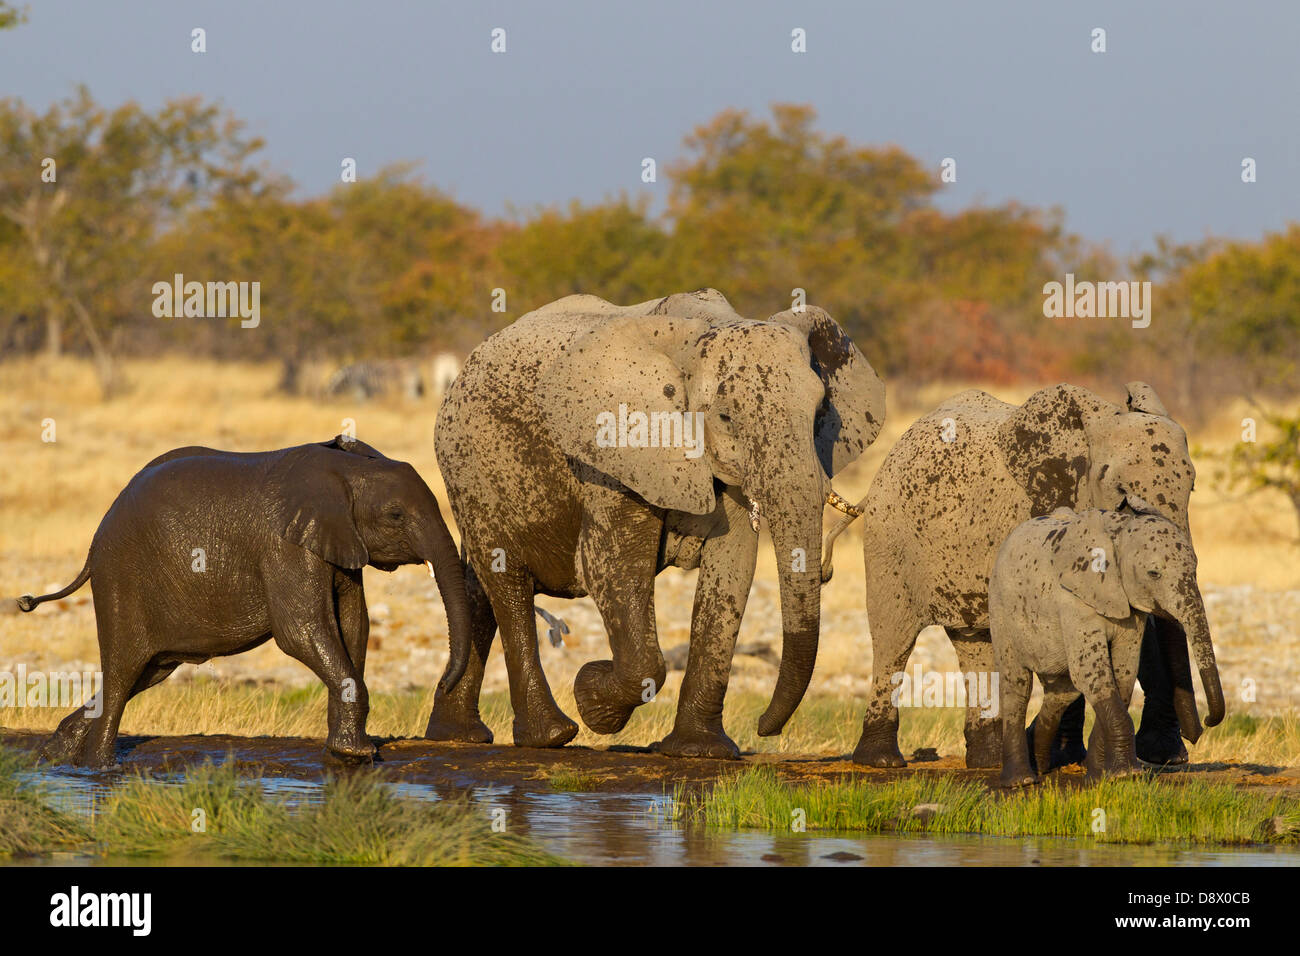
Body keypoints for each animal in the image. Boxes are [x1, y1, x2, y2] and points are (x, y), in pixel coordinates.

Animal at [13, 436, 470, 769]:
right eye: (396, 516)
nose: (443, 683)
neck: (347, 471)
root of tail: (96, 539)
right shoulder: (284, 547)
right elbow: (303, 631)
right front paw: (356, 754)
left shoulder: (338, 541)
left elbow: (355, 627)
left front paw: (348, 751)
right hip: (120, 576)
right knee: (124, 671)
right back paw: (99, 769)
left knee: (147, 671)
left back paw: (56, 754)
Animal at [424, 288, 885, 757]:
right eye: (725, 417)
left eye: (820, 411)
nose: (762, 727)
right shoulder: (612, 451)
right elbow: (612, 567)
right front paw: (593, 698)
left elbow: (733, 568)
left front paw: (700, 750)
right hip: (469, 468)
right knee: (506, 582)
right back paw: (549, 736)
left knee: (478, 589)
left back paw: (458, 735)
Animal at [990, 507, 1224, 787]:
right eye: (1154, 573)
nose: (1207, 722)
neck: (1119, 533)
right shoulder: (1073, 600)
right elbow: (1094, 675)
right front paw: (1126, 774)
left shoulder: (1131, 611)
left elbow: (1123, 675)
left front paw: (1101, 774)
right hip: (1001, 612)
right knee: (1017, 685)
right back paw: (1021, 780)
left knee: (1063, 692)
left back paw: (1041, 762)